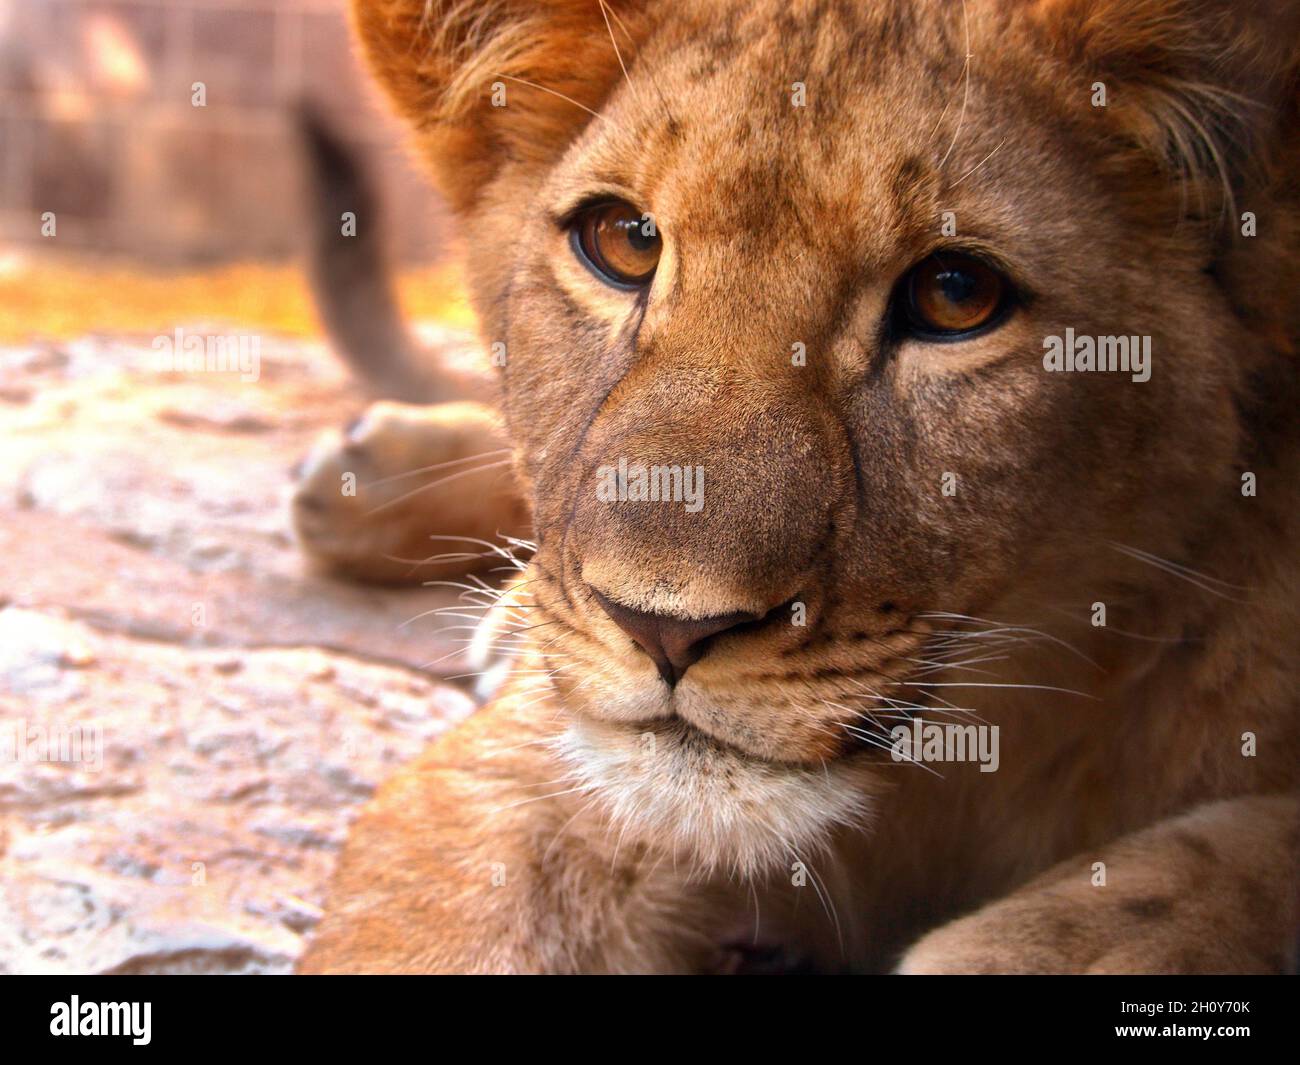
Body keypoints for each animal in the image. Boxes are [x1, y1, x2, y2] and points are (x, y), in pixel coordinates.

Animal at [294, 0, 1300, 973]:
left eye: (956, 293)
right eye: (623, 242)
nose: (664, 628)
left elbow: (1243, 848)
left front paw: (1059, 941)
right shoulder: (539, 791)